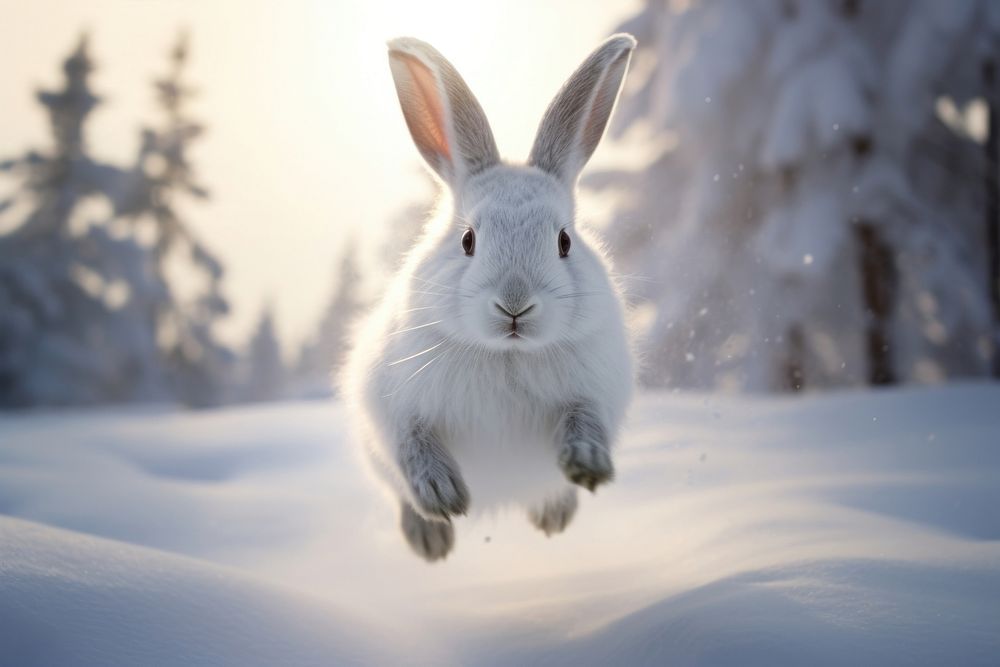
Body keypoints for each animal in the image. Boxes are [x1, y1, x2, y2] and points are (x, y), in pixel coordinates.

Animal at [342, 34, 636, 562]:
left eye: (564, 241)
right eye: (468, 241)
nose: (514, 305)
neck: (506, 355)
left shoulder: (595, 391)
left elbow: (584, 420)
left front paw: (585, 463)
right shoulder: (391, 403)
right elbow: (411, 444)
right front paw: (444, 496)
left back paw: (552, 515)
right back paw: (430, 540)